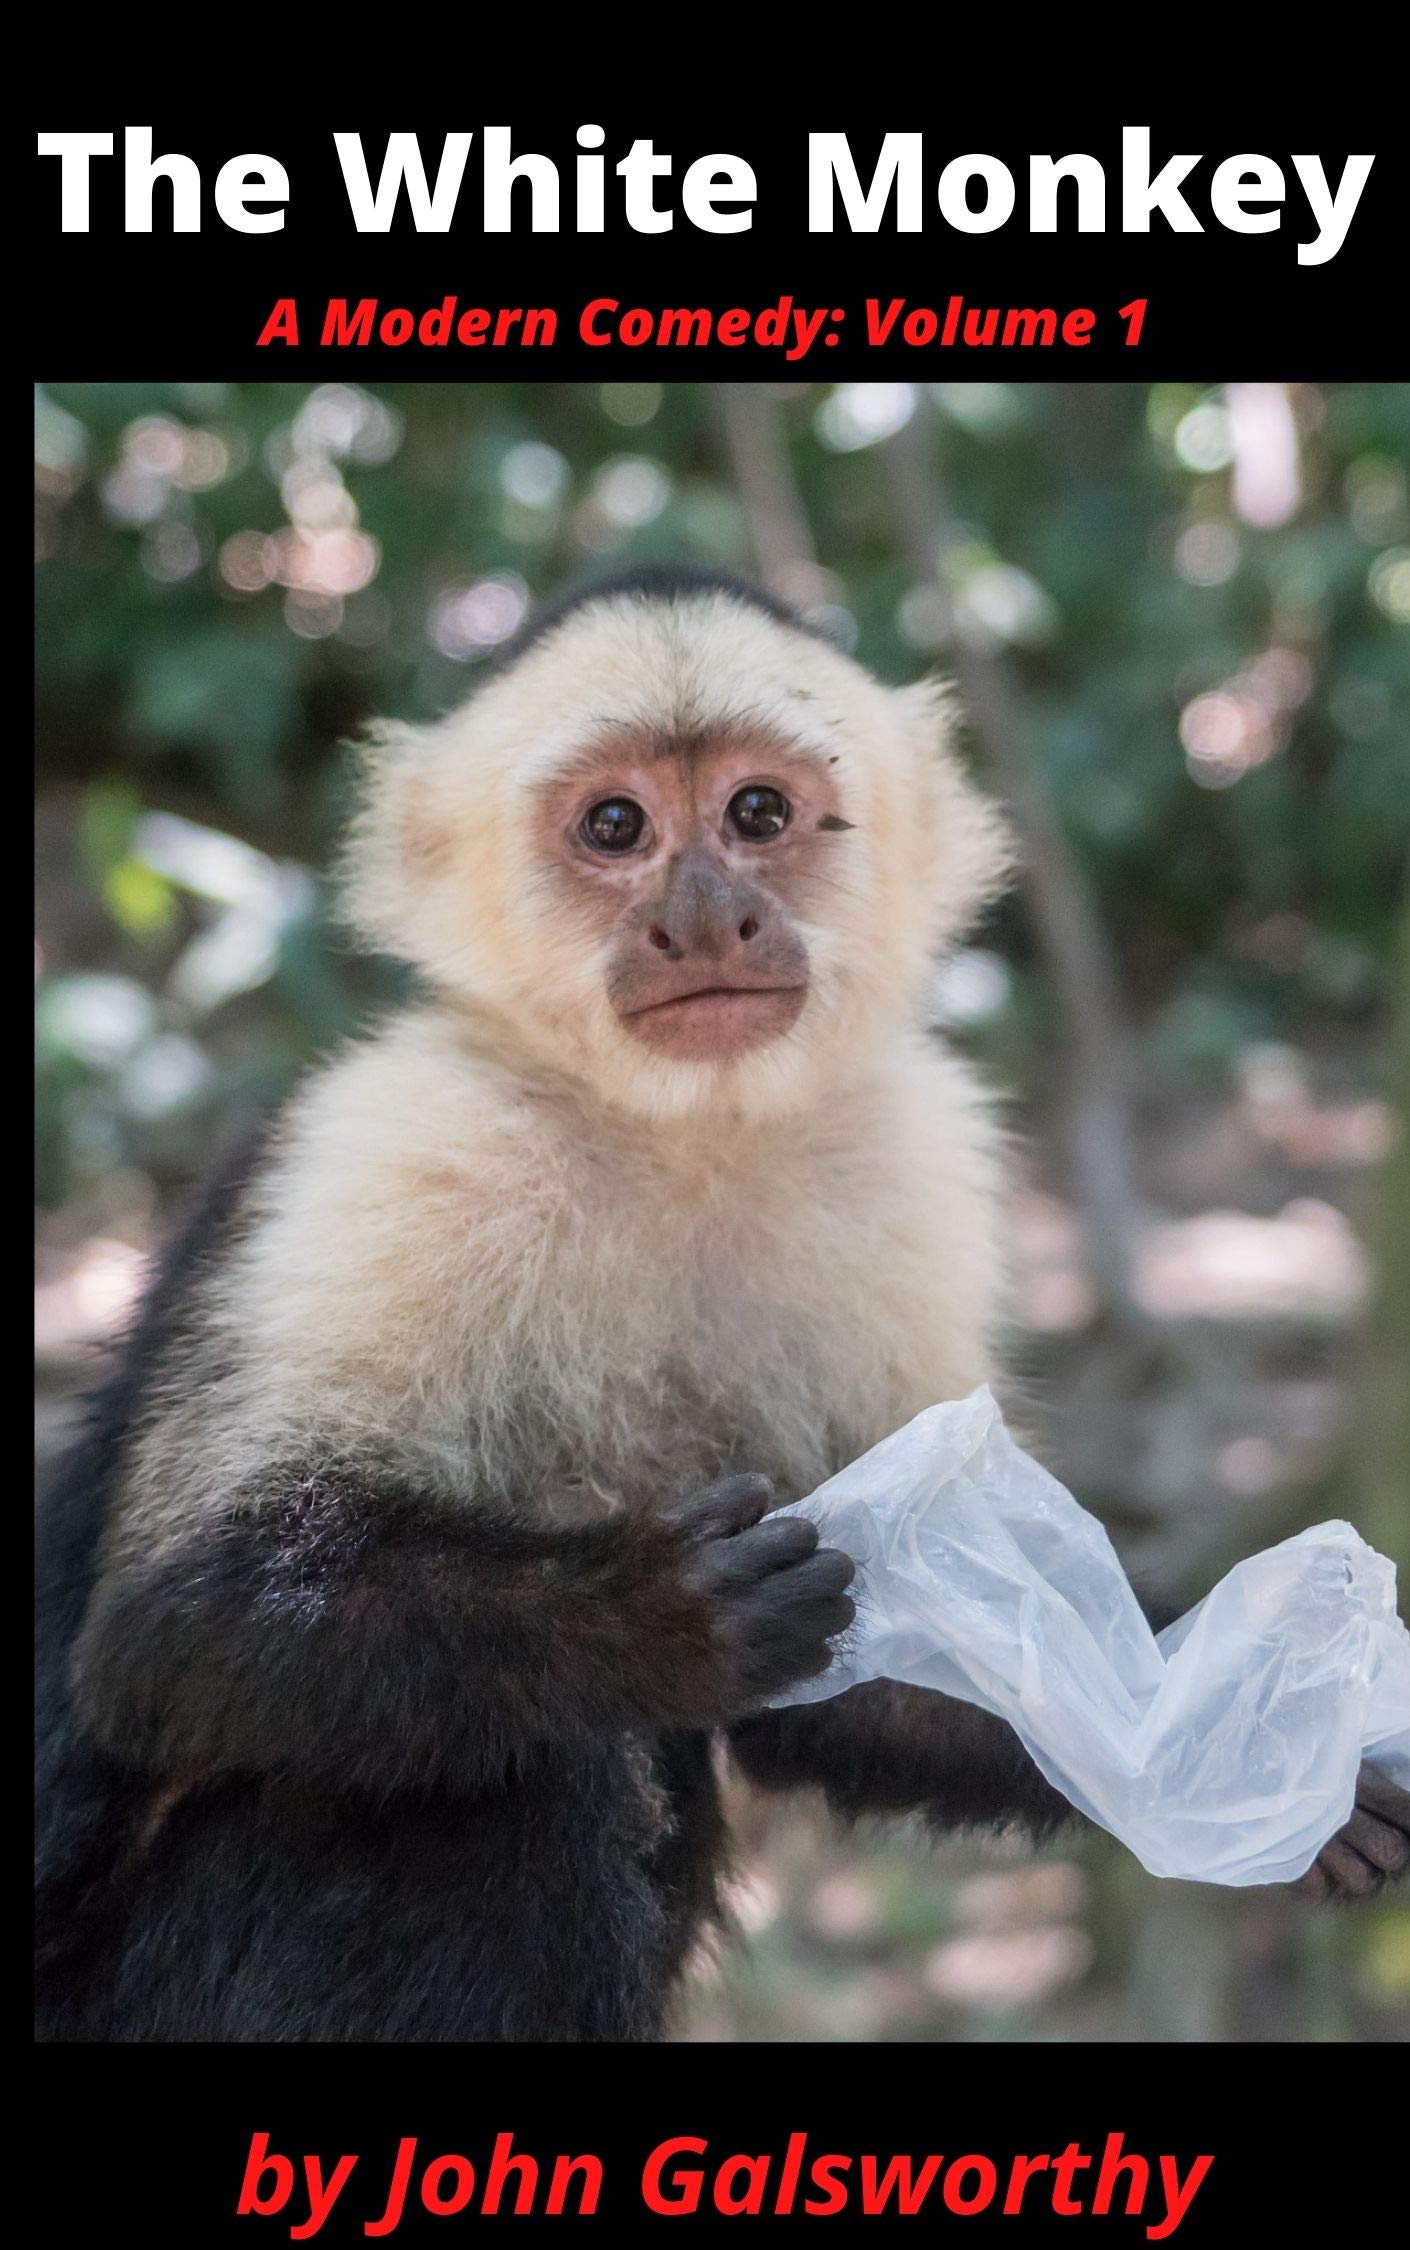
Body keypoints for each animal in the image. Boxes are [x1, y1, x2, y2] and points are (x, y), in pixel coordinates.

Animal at [35, 563, 1410, 2043]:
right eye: (615, 826)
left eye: (757, 813)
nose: (700, 920)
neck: (679, 1132)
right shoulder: (404, 1135)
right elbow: (178, 1626)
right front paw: (637, 1616)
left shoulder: (906, 1162)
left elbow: (908, 1652)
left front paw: (1278, 1748)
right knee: (520, 1777)